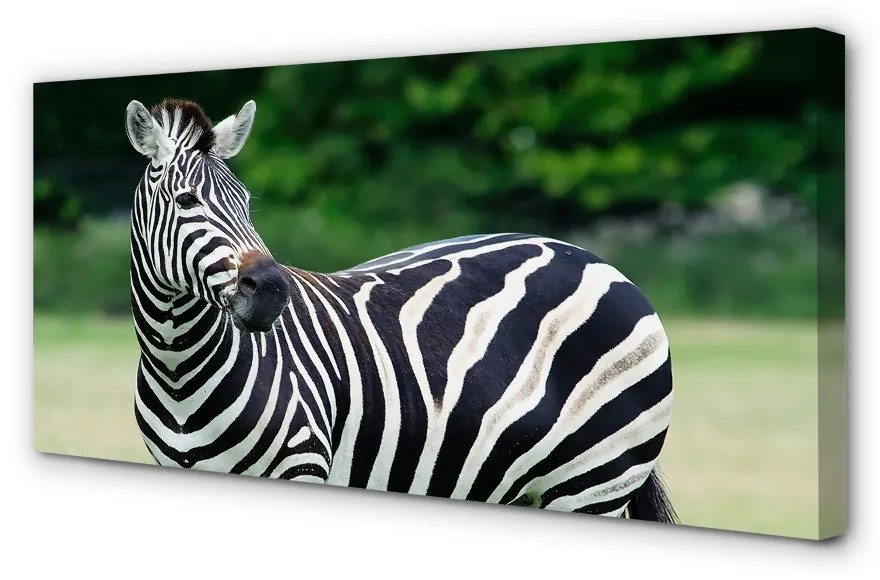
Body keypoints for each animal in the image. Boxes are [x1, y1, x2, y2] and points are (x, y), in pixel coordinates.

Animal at [125, 97, 677, 522]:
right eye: (186, 200)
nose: (272, 293)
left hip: (595, 483)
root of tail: (594, 259)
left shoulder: (301, 466)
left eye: (245, 202)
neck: (178, 367)